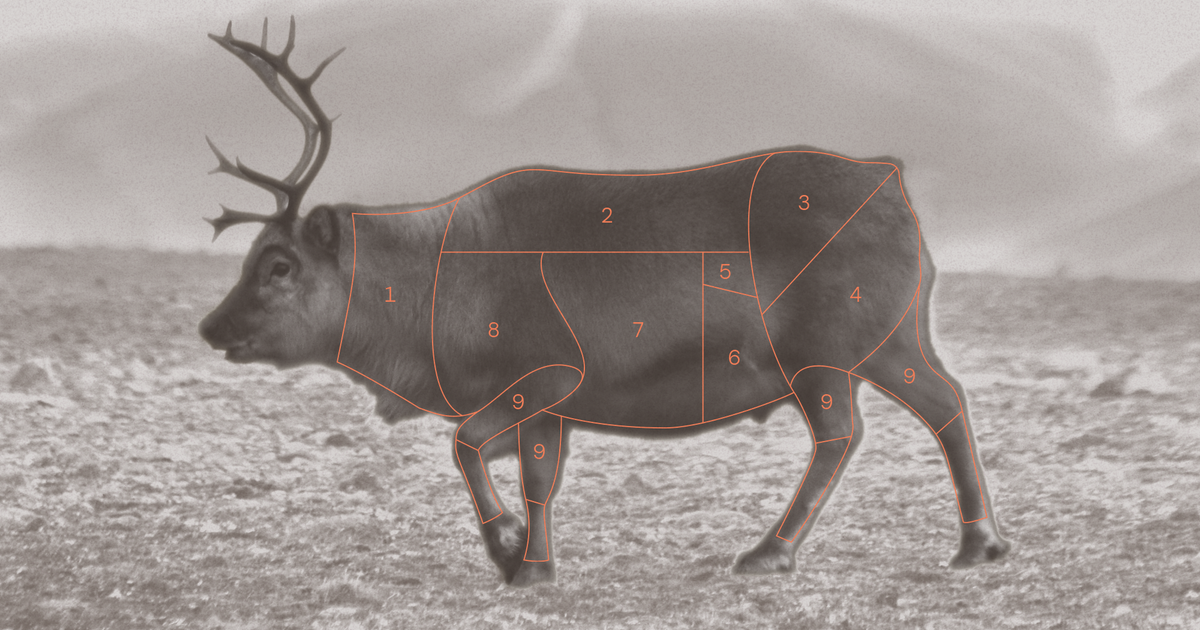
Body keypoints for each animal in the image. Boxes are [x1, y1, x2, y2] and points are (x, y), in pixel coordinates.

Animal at [198, 19, 1011, 587]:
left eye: (278, 264)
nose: (209, 326)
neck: (426, 298)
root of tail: (892, 182)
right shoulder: (550, 407)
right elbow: (539, 478)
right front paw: (535, 566)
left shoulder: (552, 372)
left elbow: (465, 444)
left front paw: (507, 550)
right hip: (894, 338)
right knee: (947, 399)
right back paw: (980, 543)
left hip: (824, 352)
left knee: (843, 432)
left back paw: (769, 551)